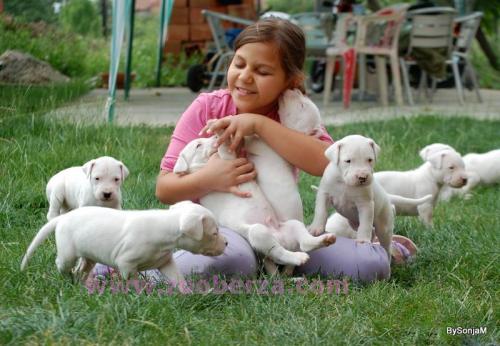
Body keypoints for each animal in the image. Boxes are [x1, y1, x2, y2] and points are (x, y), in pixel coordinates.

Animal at [173, 136, 336, 274]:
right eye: (198, 145)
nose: (215, 137)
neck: (204, 165)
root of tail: (282, 241)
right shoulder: (223, 163)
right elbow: (225, 152)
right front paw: (225, 140)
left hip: (292, 225)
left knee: (304, 242)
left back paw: (323, 240)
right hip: (258, 233)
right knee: (279, 252)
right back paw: (298, 257)